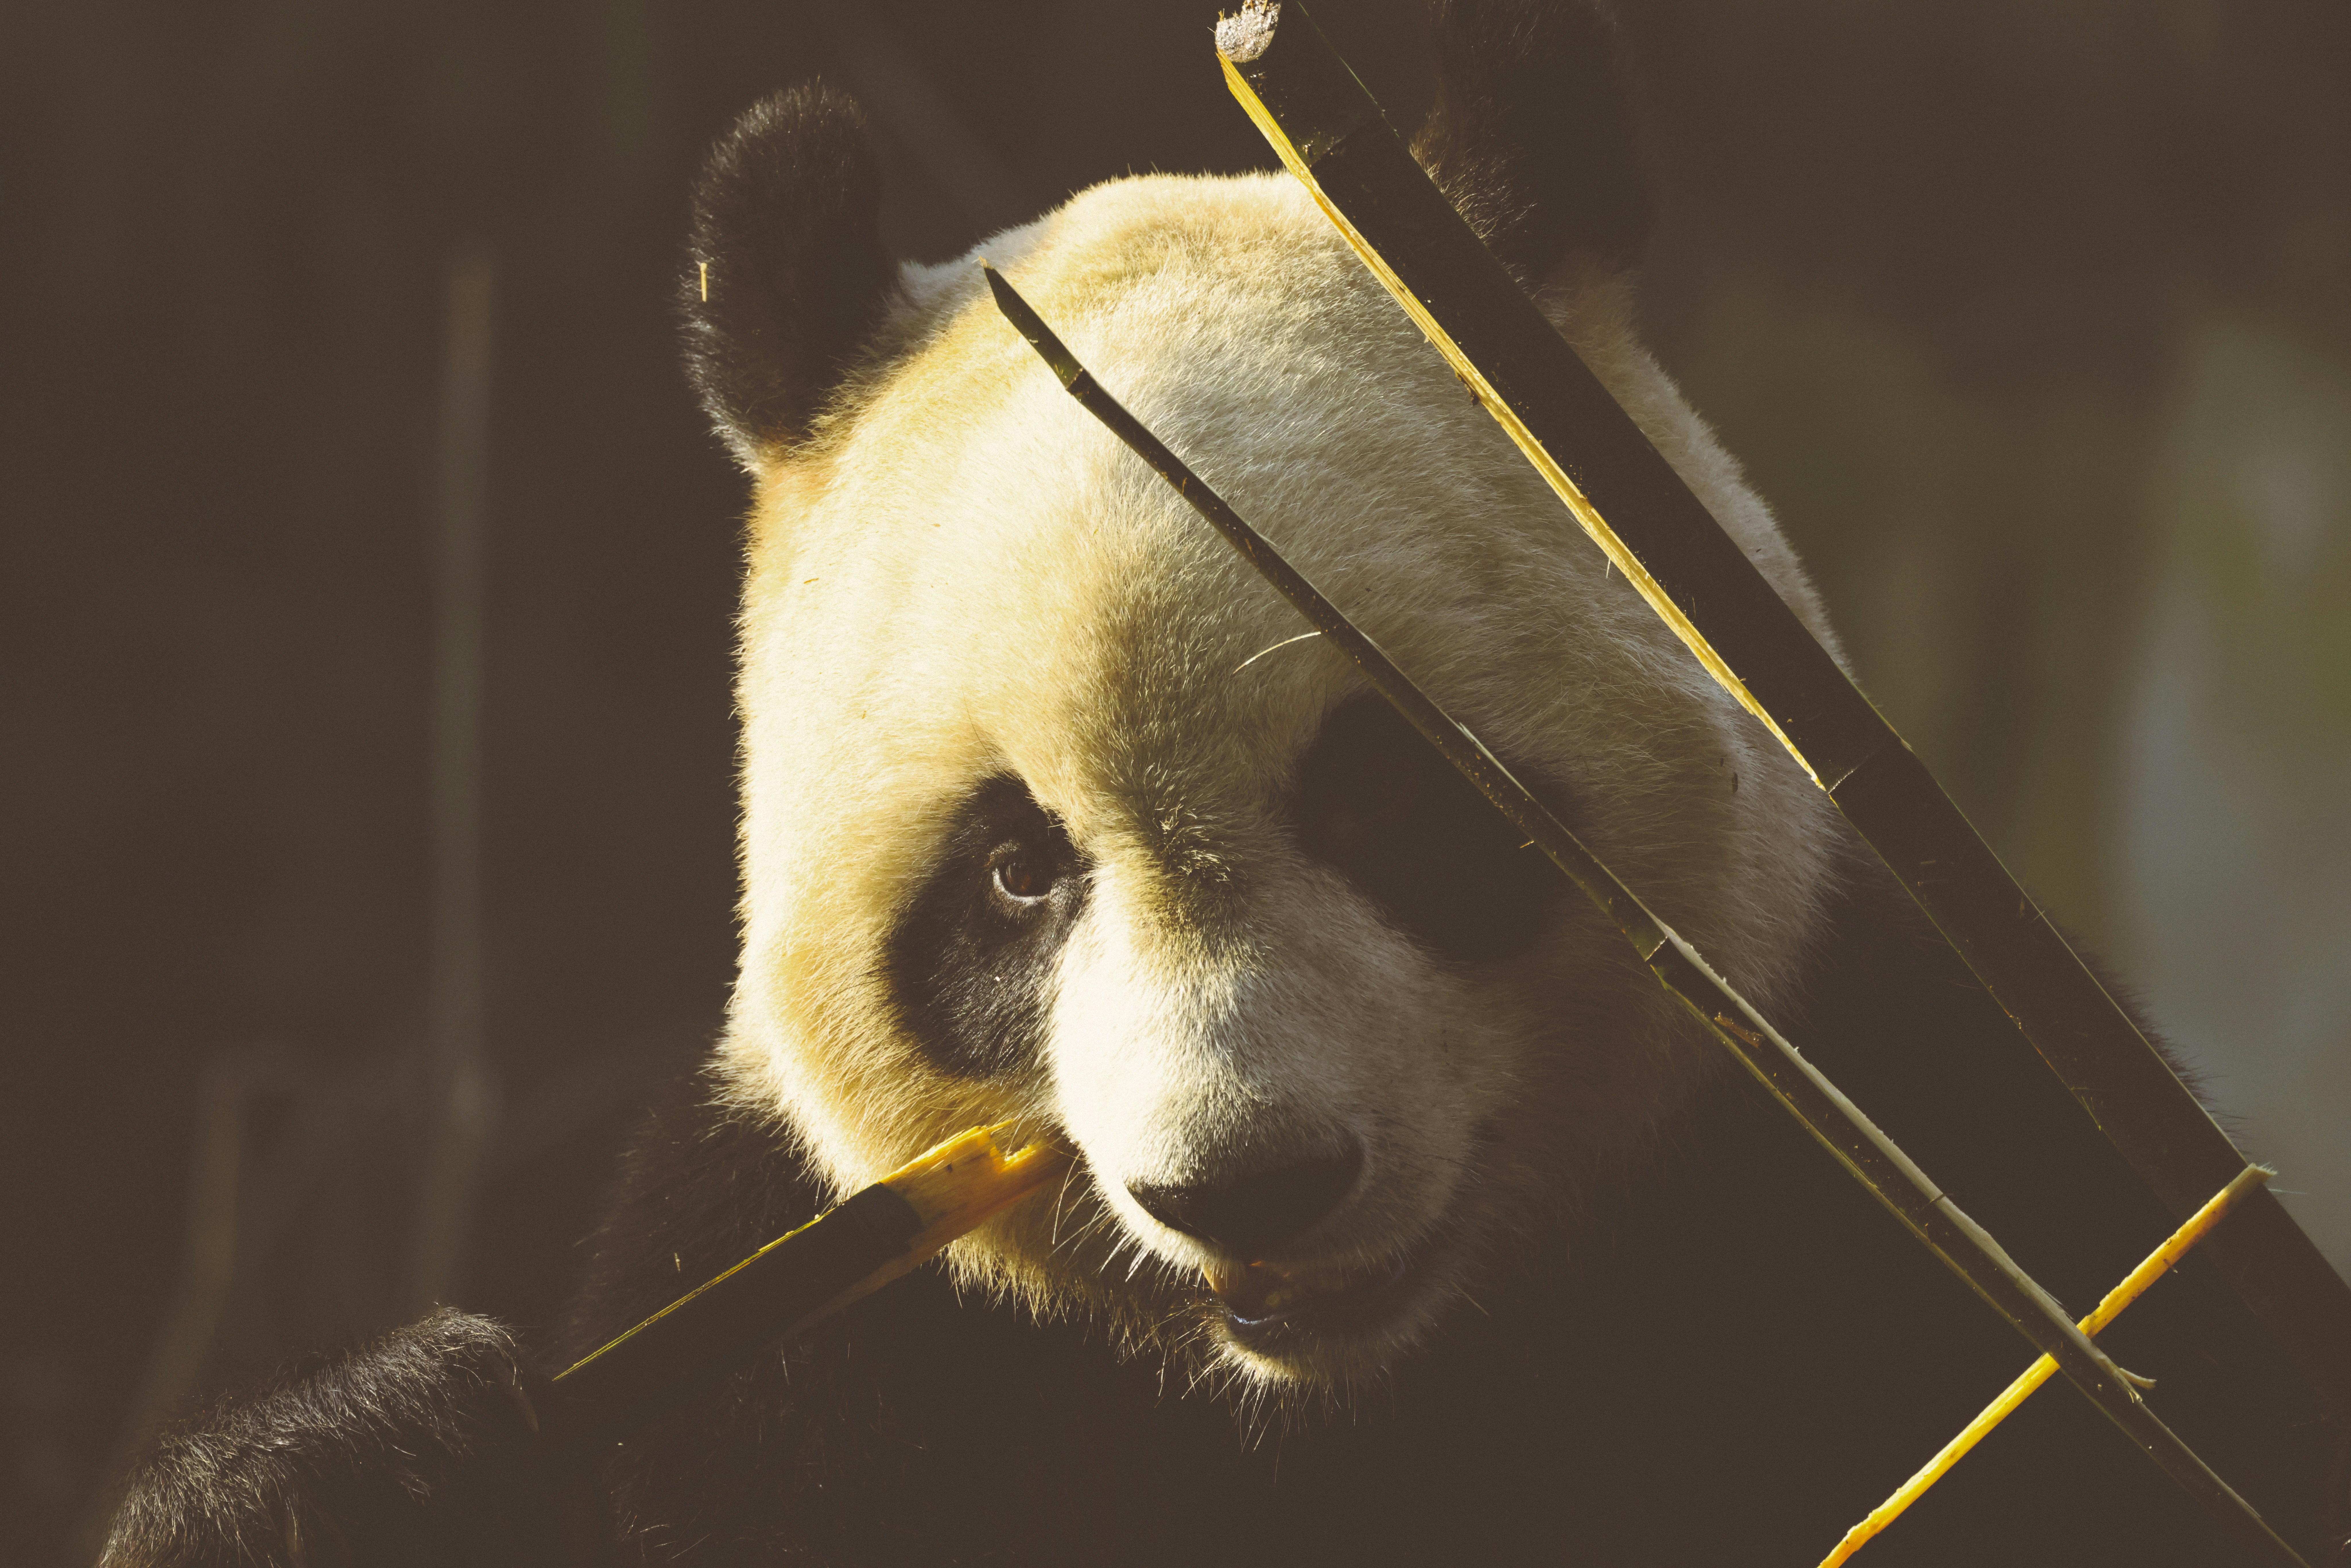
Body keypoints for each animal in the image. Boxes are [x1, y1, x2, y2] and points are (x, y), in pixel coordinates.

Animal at [104, 3, 2340, 1565]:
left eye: (1385, 798)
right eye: (1016, 876)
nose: (1247, 1184)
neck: (1339, 1394)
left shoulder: (1914, 1138)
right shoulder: (835, 1346)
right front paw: (337, 1476)